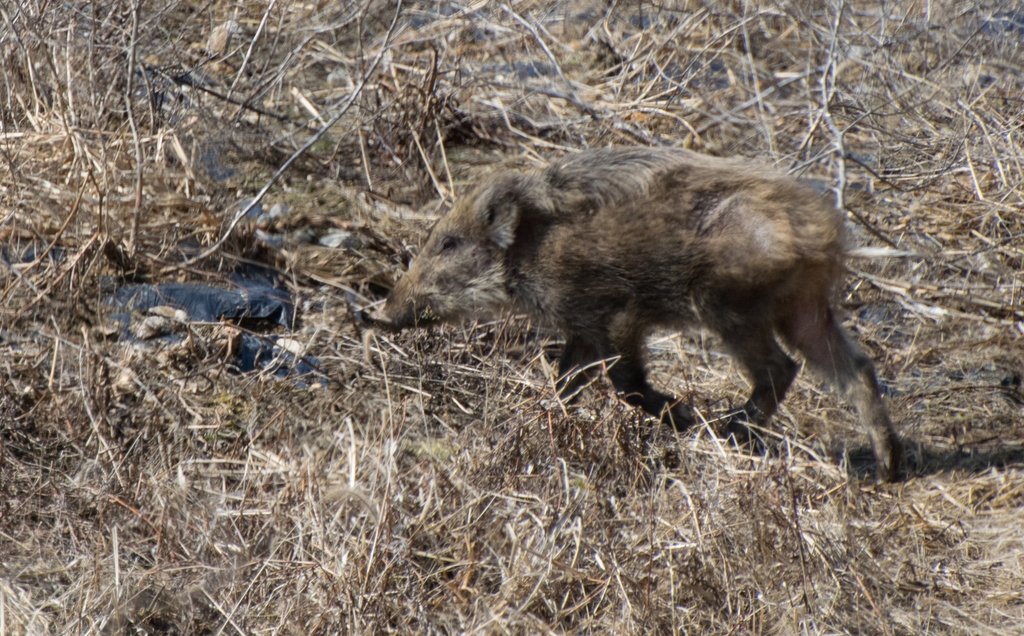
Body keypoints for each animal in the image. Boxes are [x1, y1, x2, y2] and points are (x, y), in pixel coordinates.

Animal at [371, 147, 902, 482]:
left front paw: (681, 415)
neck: (532, 251)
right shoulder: (581, 329)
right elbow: (564, 382)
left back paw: (725, 431)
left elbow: (623, 381)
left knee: (780, 368)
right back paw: (885, 470)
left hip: (727, 304)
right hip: (804, 310)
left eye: (448, 243)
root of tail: (826, 231)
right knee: (857, 367)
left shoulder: (617, 314)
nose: (376, 315)